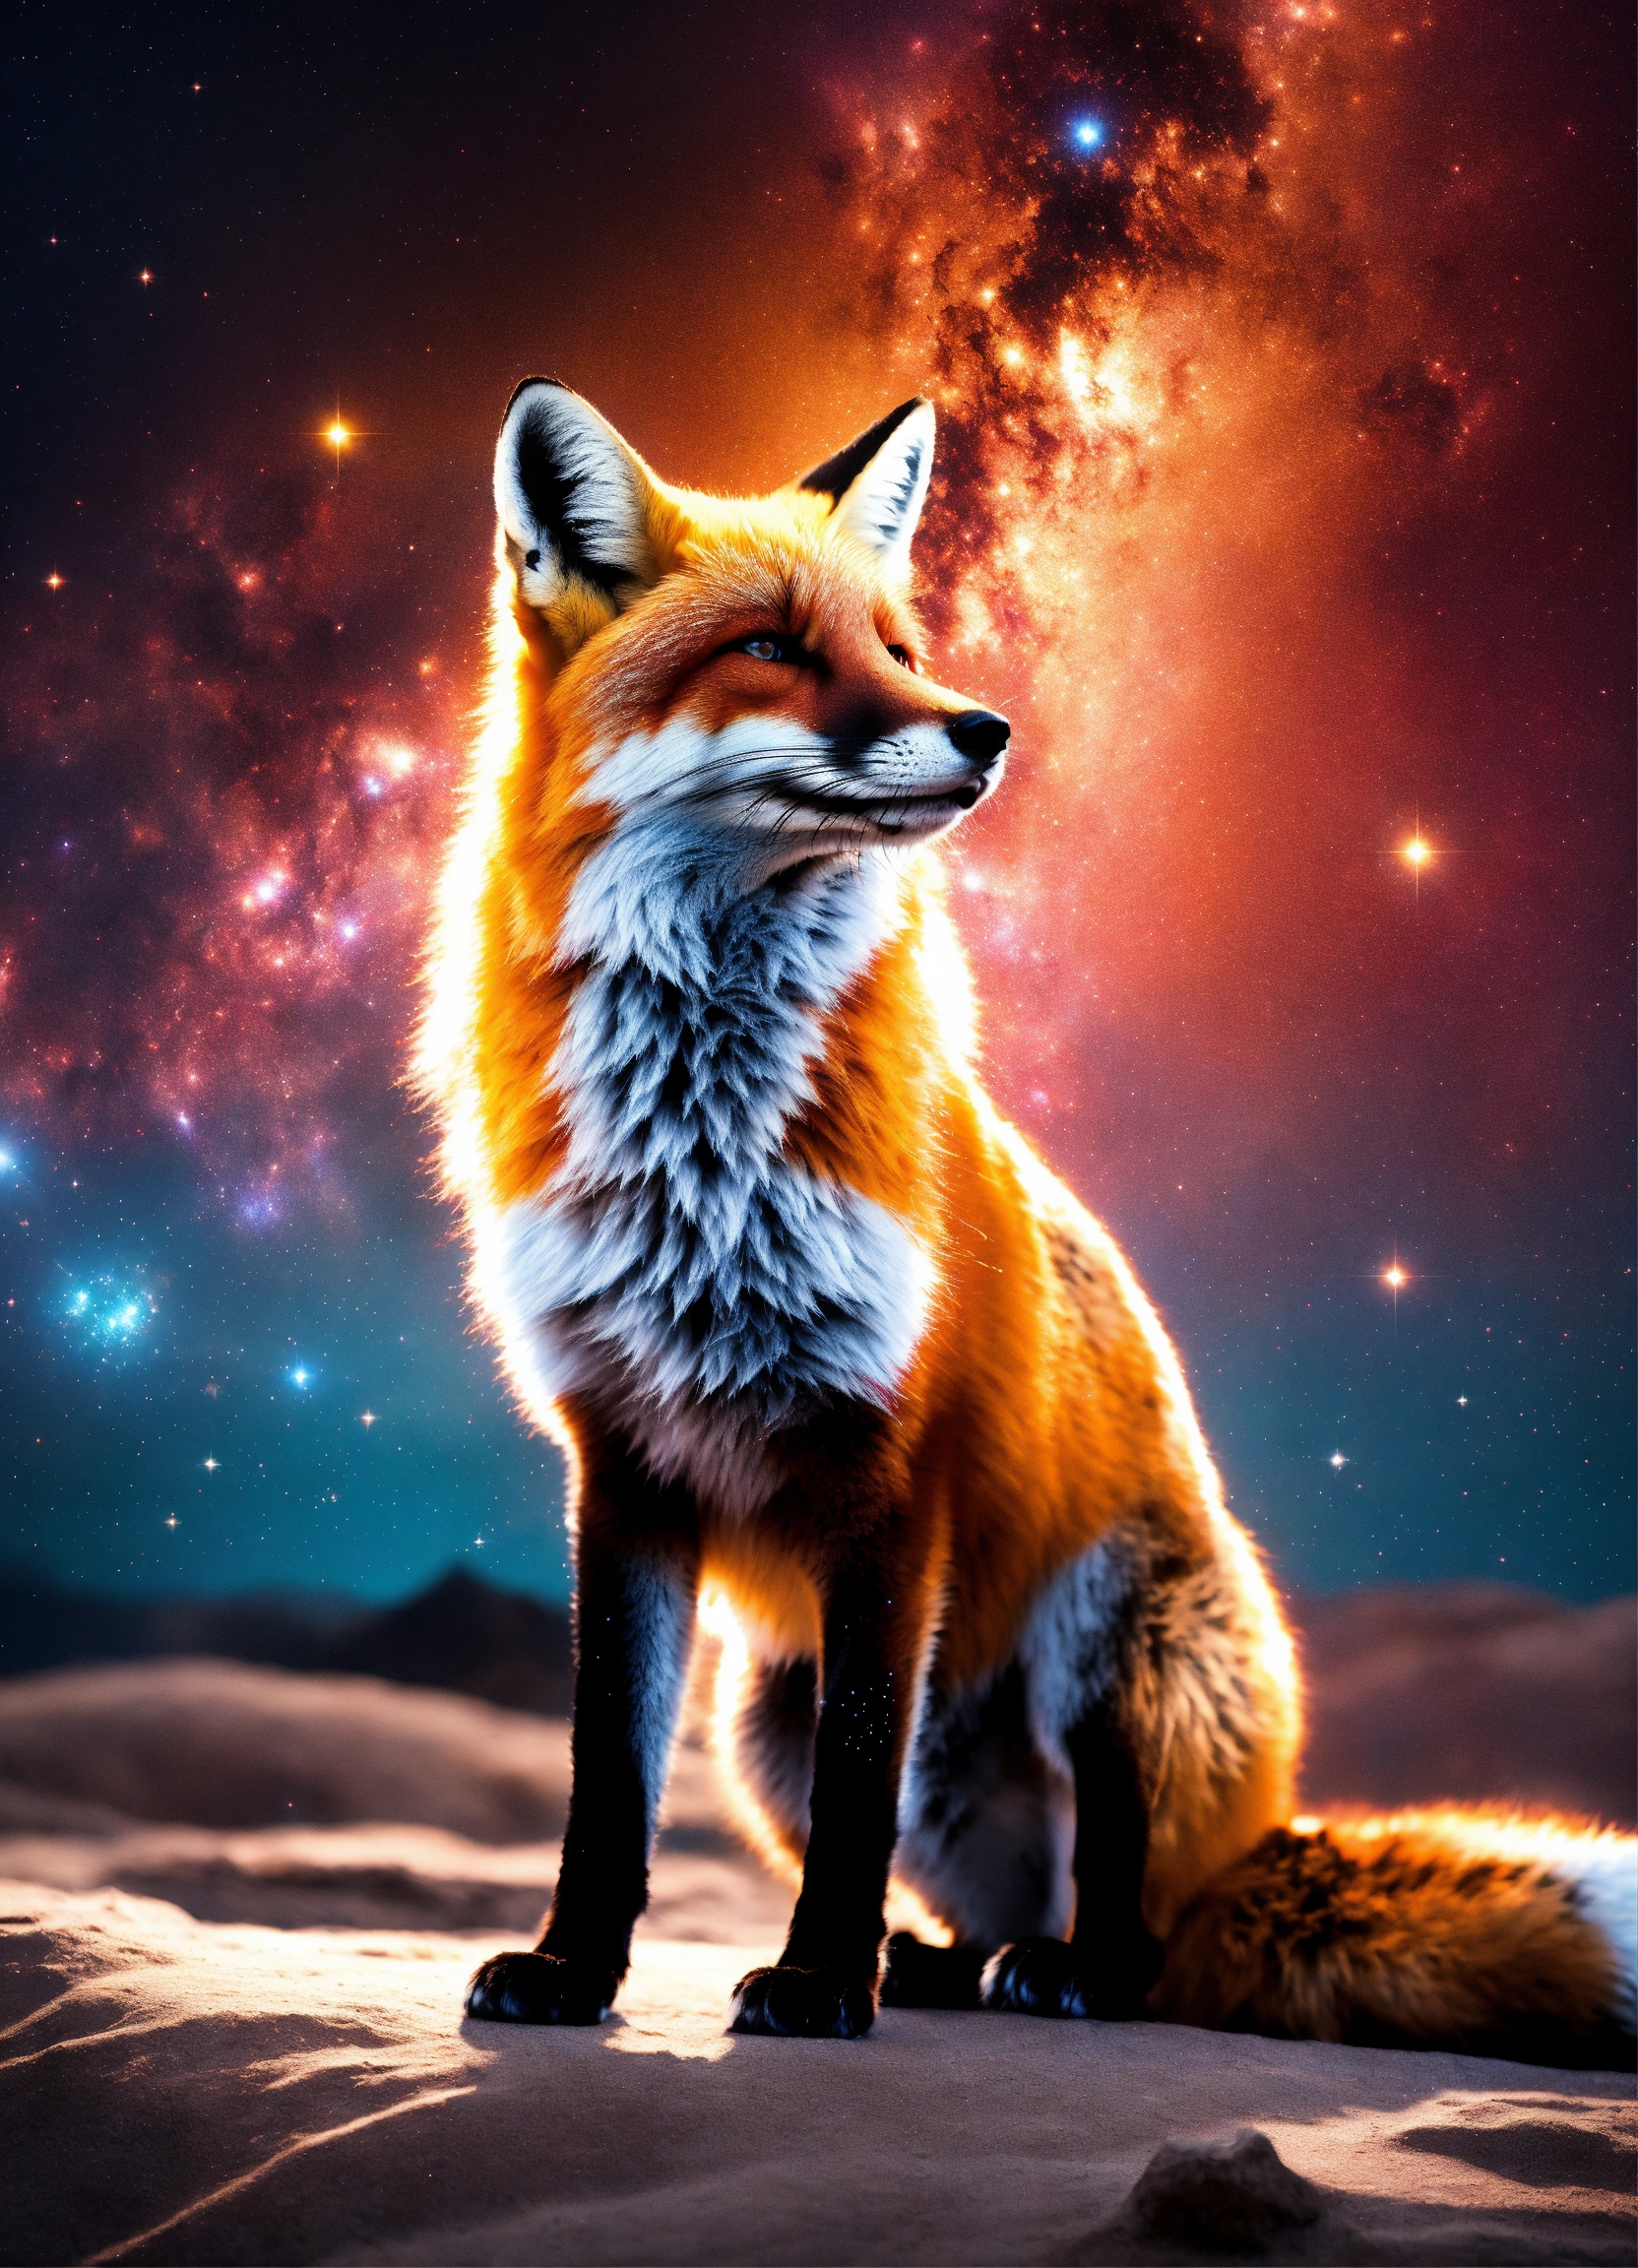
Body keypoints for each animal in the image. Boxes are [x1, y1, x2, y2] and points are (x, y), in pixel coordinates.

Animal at [417, 379, 1637, 2060]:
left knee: (1131, 1924)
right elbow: (611, 1785)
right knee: (978, 1899)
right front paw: (576, 1970)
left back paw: (1064, 1970)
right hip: (763, 1707)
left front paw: (815, 1987)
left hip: (1115, 1654)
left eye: (901, 648)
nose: (988, 728)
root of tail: (1258, 1845)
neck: (704, 1141)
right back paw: (939, 1962)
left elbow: (861, 1786)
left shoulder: (888, 1464)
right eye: (772, 647)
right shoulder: (624, 1461)